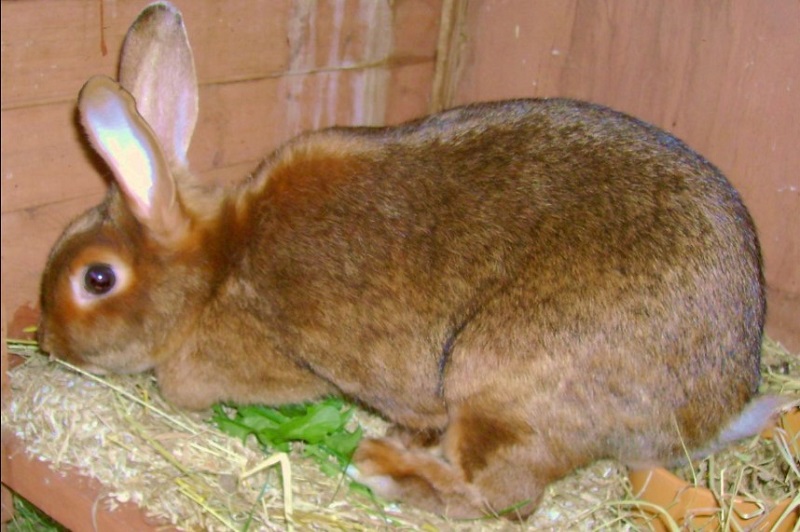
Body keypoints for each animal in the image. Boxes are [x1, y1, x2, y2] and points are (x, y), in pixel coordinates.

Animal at [38, 1, 783, 520]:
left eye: (96, 279)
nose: (46, 342)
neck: (219, 268)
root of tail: (715, 408)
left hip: (505, 376)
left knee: (506, 495)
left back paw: (382, 467)